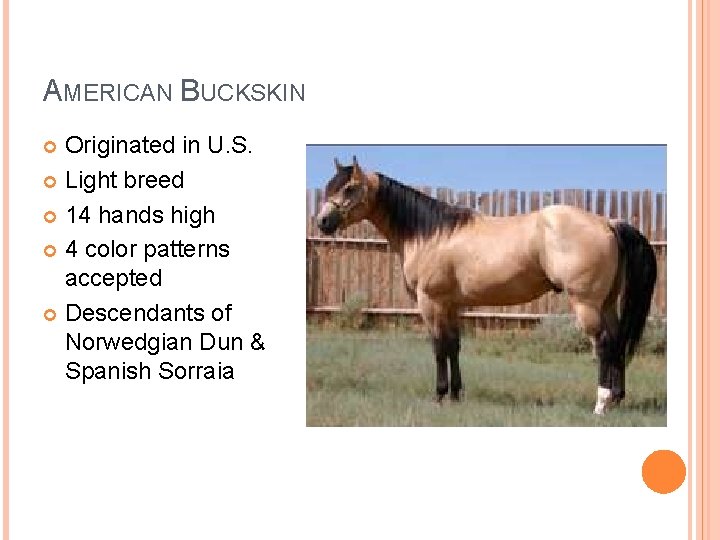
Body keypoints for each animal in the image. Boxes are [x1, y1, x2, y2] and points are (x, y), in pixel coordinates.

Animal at [316, 157, 657, 415]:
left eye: (349, 188)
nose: (322, 222)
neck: (431, 235)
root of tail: (608, 223)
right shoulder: (451, 305)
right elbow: (453, 346)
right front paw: (456, 395)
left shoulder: (430, 303)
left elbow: (438, 348)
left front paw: (439, 395)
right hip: (606, 303)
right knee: (617, 341)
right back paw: (616, 399)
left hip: (585, 304)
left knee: (604, 344)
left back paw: (600, 404)